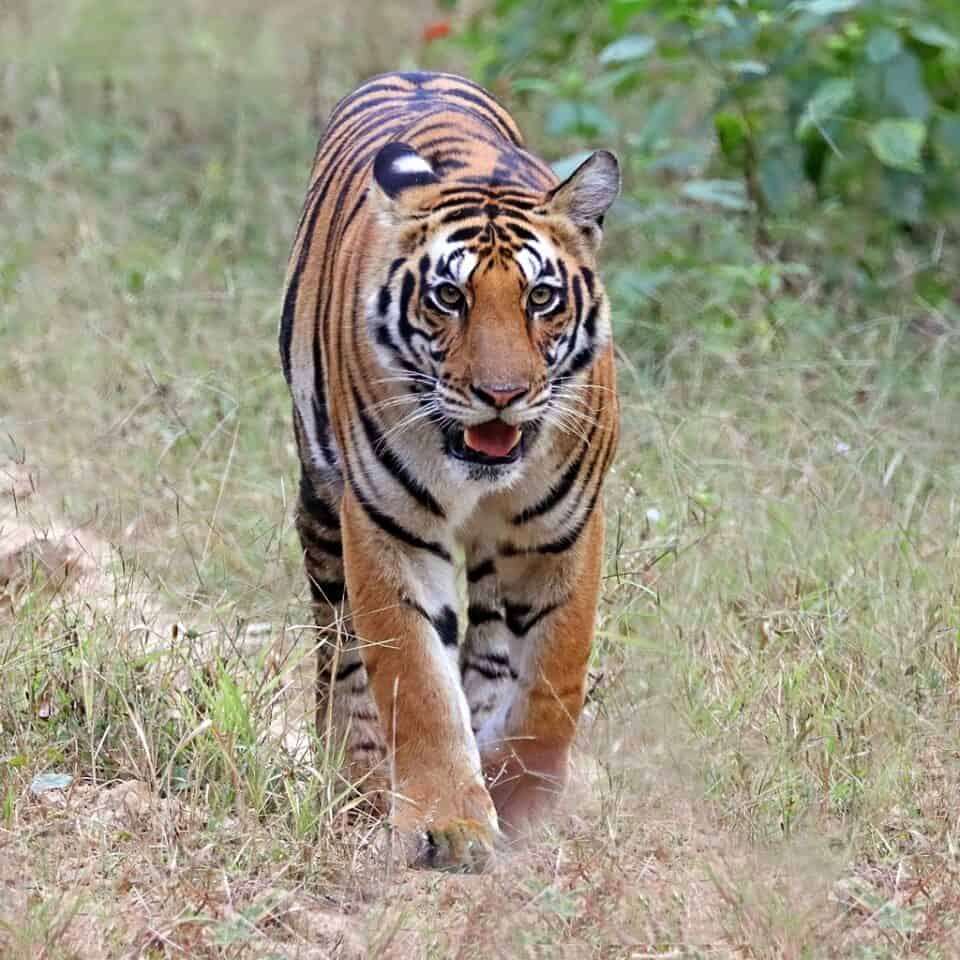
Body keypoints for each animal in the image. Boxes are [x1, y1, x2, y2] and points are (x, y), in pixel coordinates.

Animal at [279, 71, 619, 871]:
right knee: (339, 648)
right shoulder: (388, 526)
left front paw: (518, 797)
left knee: (492, 646)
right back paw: (360, 777)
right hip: (322, 504)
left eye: (541, 297)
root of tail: (412, 73)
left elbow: (554, 679)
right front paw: (449, 824)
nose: (501, 394)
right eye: (449, 297)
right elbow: (415, 678)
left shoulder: (563, 532)